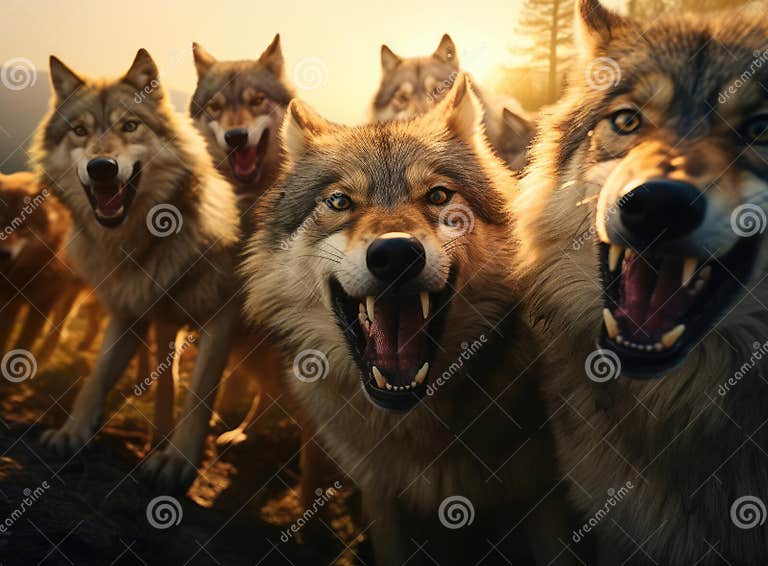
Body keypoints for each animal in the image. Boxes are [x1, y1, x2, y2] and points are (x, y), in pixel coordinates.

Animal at [32, 50, 240, 491]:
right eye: (80, 131)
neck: (143, 242)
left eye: (130, 125)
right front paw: (72, 433)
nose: (101, 167)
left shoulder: (222, 316)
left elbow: (198, 396)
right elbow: (95, 378)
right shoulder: (128, 315)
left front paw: (178, 461)